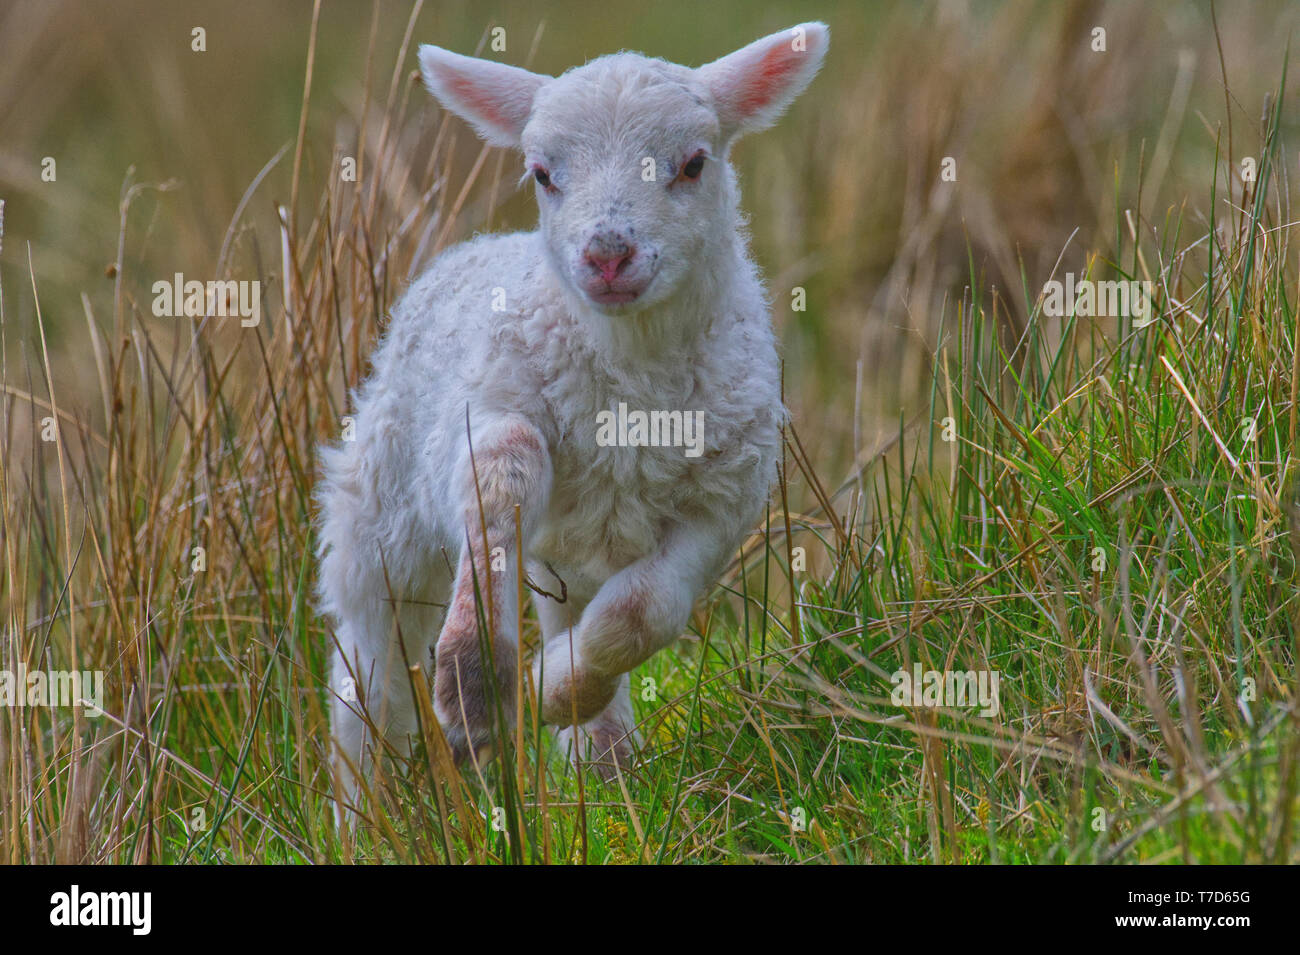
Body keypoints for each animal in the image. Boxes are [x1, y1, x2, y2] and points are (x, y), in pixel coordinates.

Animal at [316, 22, 828, 807]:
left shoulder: (724, 501)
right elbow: (506, 469)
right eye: (541, 173)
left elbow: (638, 614)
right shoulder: (485, 416)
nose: (607, 254)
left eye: (693, 163)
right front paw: (472, 685)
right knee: (368, 670)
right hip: (380, 509)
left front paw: (545, 689)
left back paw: (604, 760)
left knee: (575, 610)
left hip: (574, 544)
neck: (630, 370)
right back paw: (364, 809)